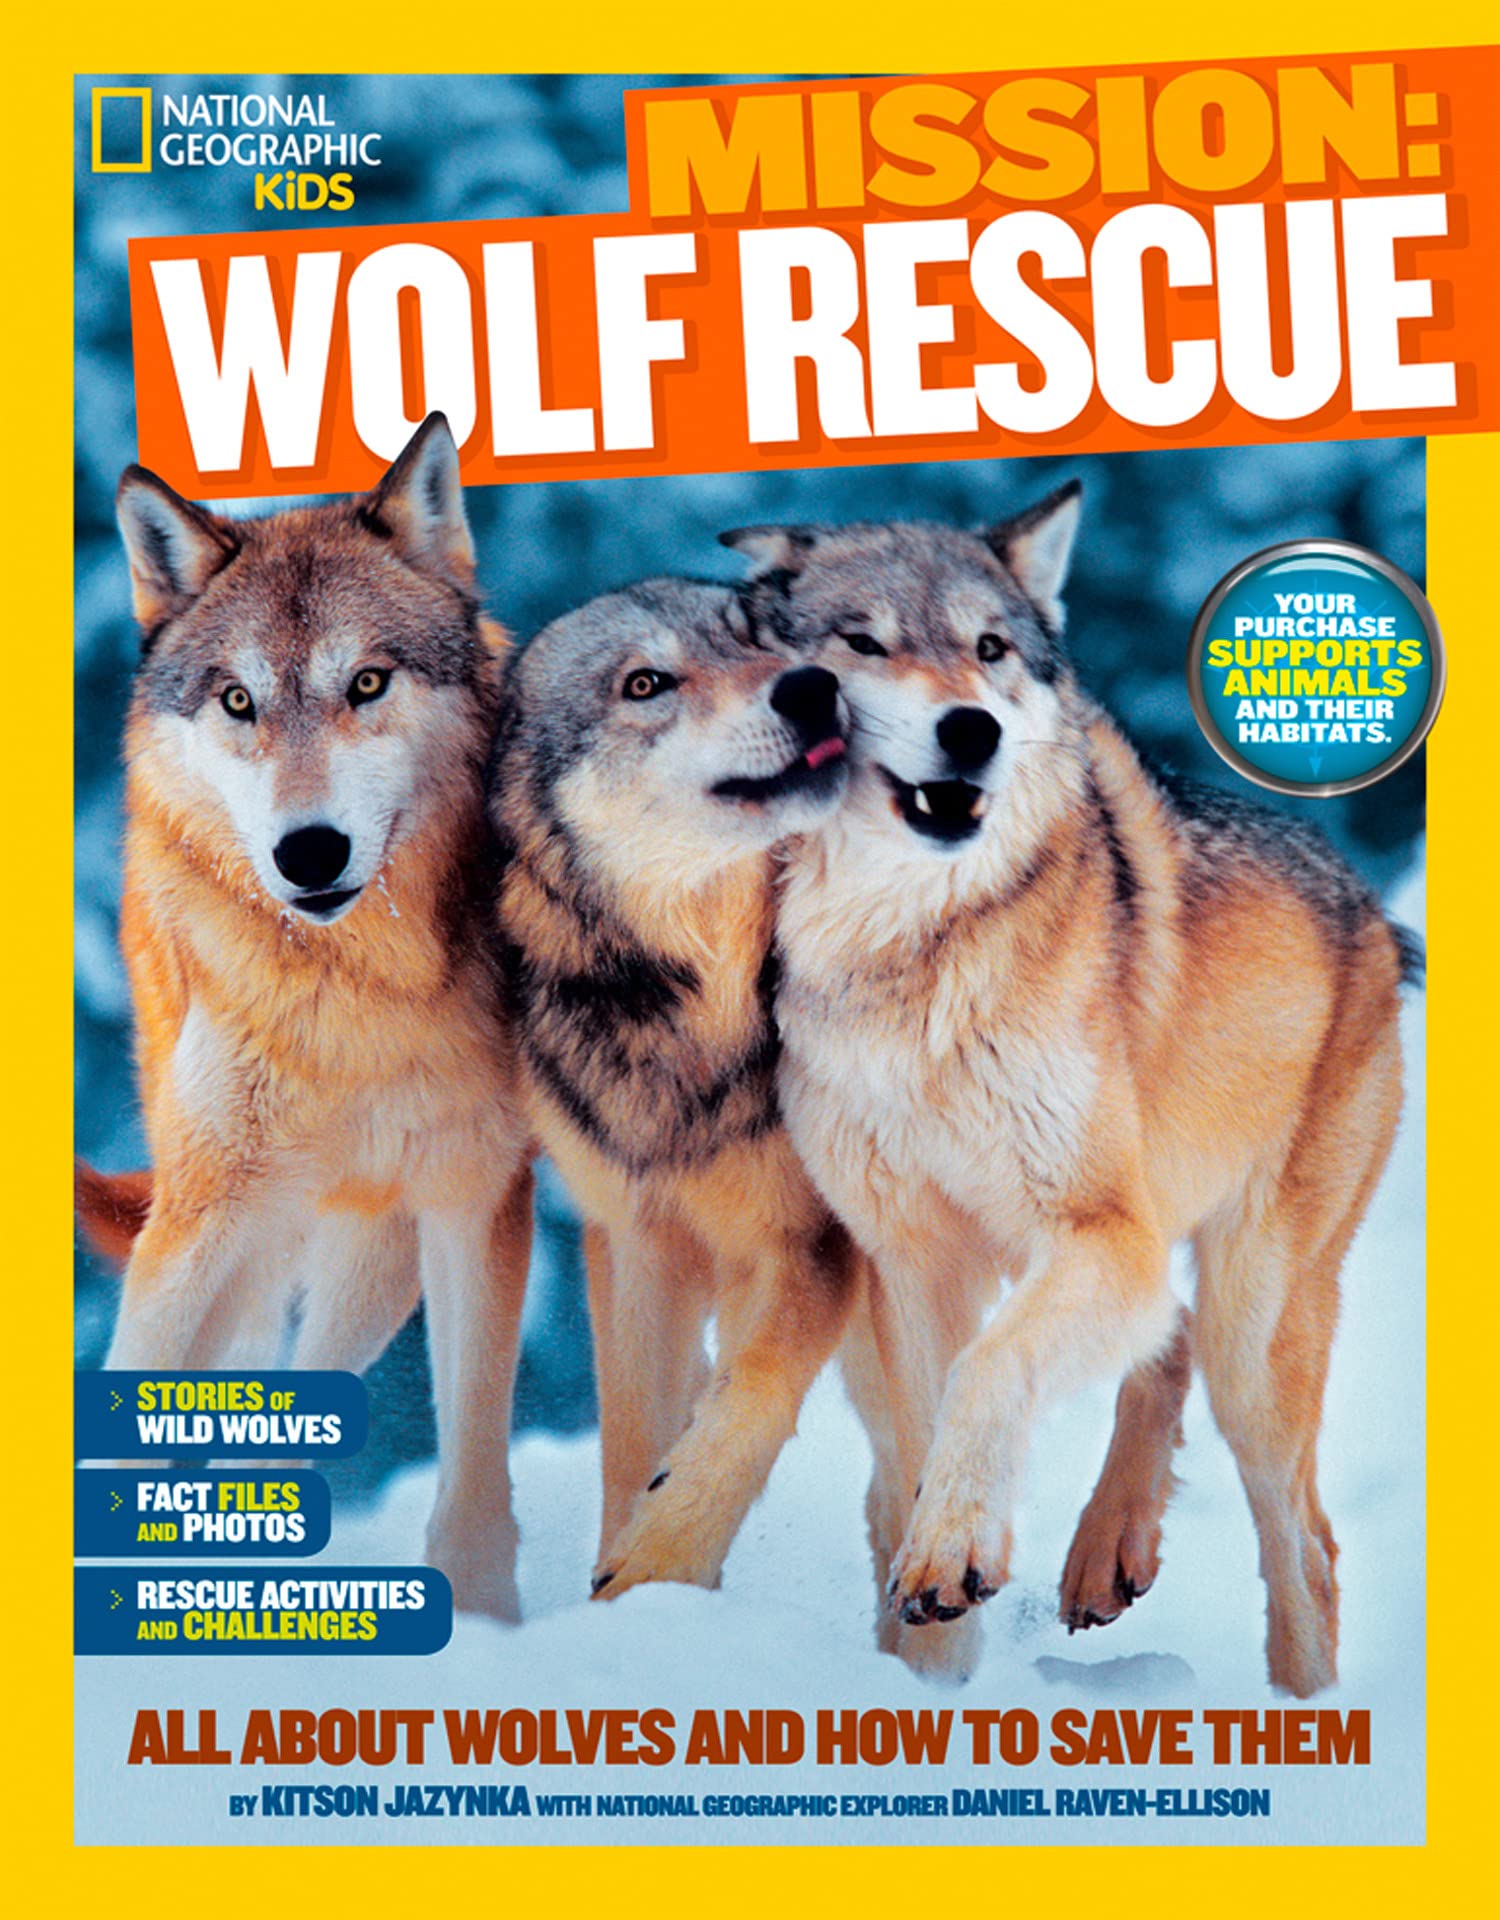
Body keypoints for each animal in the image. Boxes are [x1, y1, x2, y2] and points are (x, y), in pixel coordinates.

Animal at [78, 414, 534, 1619]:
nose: (310, 852)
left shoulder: (476, 1200)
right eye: (238, 700)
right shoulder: (198, 1222)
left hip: (371, 1270)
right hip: (245, 1232)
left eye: (367, 682)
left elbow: (474, 1479)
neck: (359, 997)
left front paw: (485, 1626)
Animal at [492, 579, 860, 1597]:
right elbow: (634, 1437)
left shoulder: (811, 1246)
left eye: (760, 640)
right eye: (646, 684)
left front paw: (657, 1567)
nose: (812, 687)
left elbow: (749, 1400)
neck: (703, 1007)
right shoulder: (639, 1243)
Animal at [725, 488, 1416, 1695]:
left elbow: (988, 1376)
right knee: (1165, 1339)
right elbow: (925, 1433)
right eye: (864, 643)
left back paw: (1304, 1708)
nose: (972, 730)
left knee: (1309, 1548)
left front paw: (952, 1554)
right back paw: (1108, 1552)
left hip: (1254, 1334)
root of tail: (1372, 907)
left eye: (991, 649)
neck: (907, 951)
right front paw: (931, 1680)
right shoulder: (914, 1261)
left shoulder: (1096, 1232)